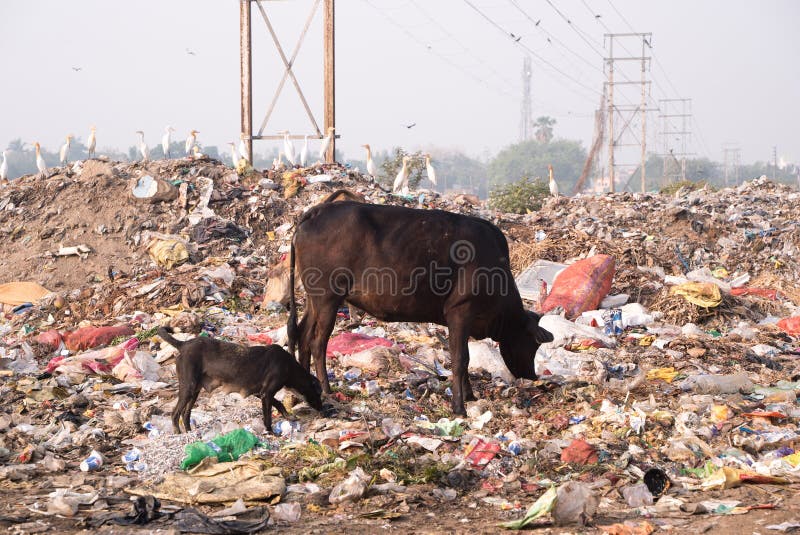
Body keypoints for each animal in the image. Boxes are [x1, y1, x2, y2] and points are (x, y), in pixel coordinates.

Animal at [287, 201, 553, 415]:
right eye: (533, 343)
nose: (532, 375)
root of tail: (317, 211)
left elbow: (464, 359)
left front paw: (469, 395)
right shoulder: (460, 312)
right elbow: (460, 359)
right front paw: (459, 407)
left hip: (314, 299)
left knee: (302, 335)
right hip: (328, 298)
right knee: (317, 342)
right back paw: (326, 389)